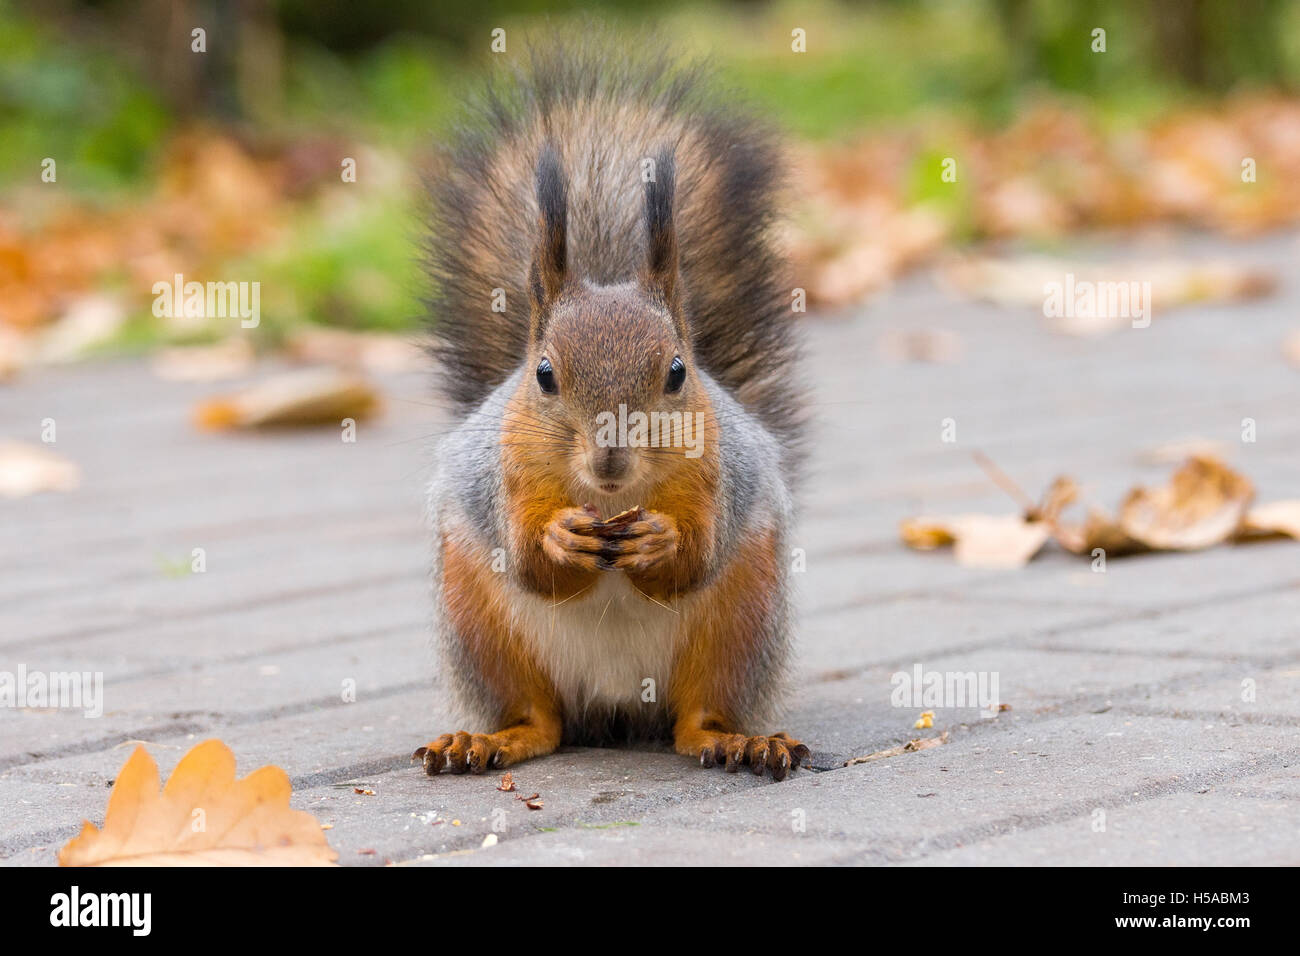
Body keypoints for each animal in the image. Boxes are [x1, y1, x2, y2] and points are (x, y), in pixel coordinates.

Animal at [414, 35, 810, 781]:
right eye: (543, 375)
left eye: (678, 372)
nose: (609, 462)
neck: (608, 500)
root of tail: (617, 705)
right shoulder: (508, 477)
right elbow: (530, 562)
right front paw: (560, 539)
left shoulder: (717, 475)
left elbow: (696, 558)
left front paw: (660, 540)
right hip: (479, 624)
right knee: (539, 721)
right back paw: (486, 740)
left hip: (743, 621)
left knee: (698, 716)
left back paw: (738, 740)